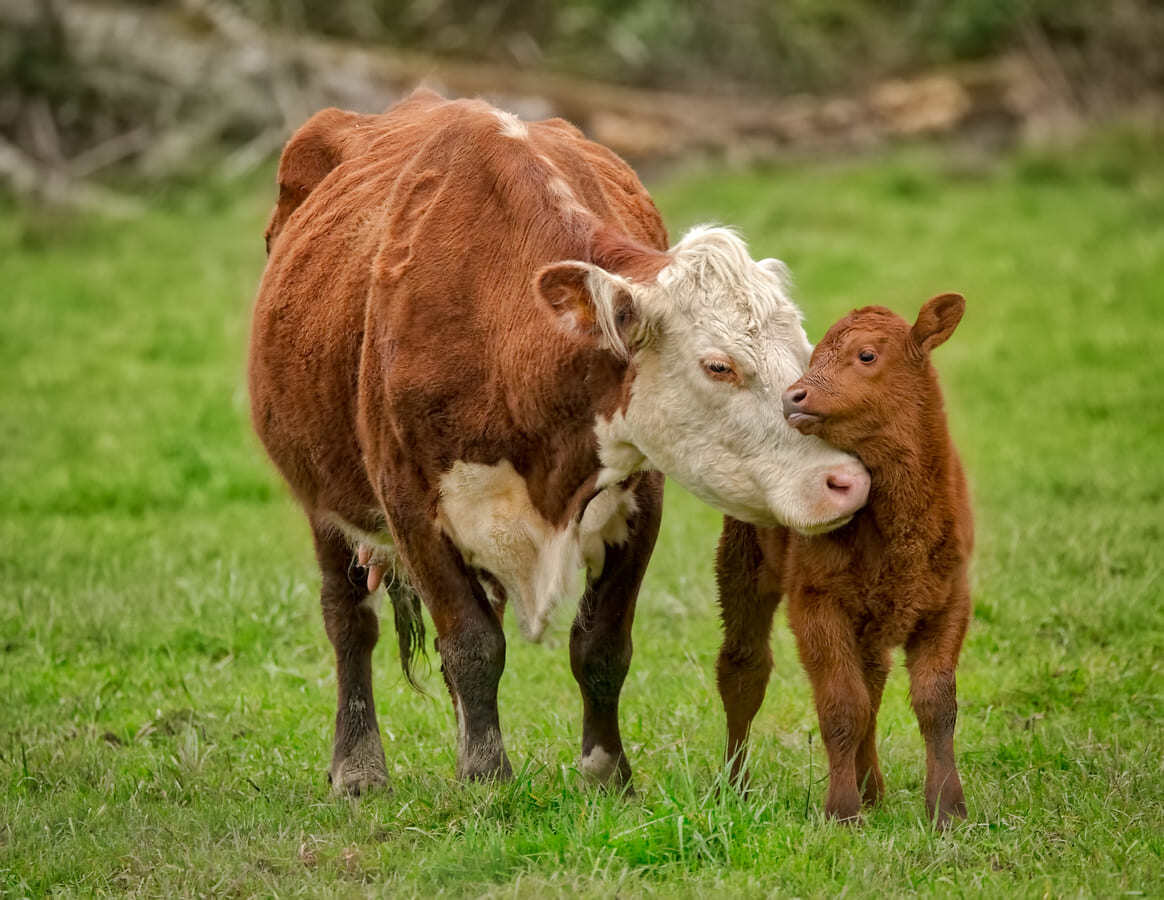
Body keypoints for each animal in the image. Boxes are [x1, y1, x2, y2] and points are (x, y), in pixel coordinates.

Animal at [248, 89, 870, 795]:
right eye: (718, 365)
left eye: (803, 353)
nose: (845, 481)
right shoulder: (409, 503)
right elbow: (472, 644)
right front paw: (487, 777)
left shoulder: (640, 497)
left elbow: (599, 645)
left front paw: (605, 772)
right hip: (325, 499)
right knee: (349, 619)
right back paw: (358, 766)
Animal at [715, 293, 971, 827]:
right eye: (812, 358)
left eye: (867, 355)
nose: (793, 396)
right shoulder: (816, 602)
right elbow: (841, 706)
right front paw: (841, 811)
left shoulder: (949, 601)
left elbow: (936, 704)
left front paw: (947, 808)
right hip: (742, 565)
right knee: (744, 670)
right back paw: (734, 787)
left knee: (872, 682)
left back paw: (872, 787)